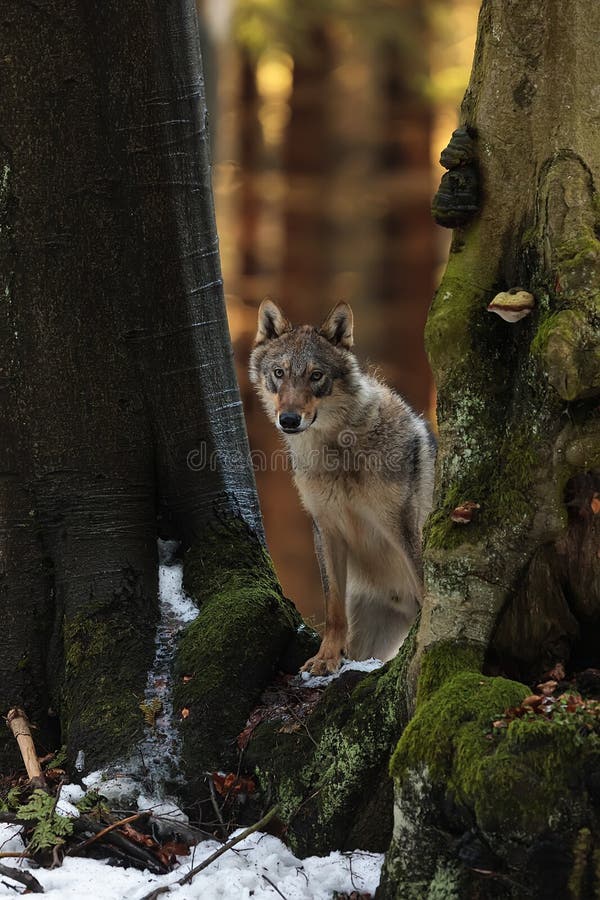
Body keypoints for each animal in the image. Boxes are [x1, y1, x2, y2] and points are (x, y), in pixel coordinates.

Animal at [249, 299, 436, 675]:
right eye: (279, 373)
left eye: (316, 375)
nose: (289, 420)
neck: (338, 450)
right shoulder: (326, 529)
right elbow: (333, 608)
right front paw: (327, 658)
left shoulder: (403, 527)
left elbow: (426, 585)